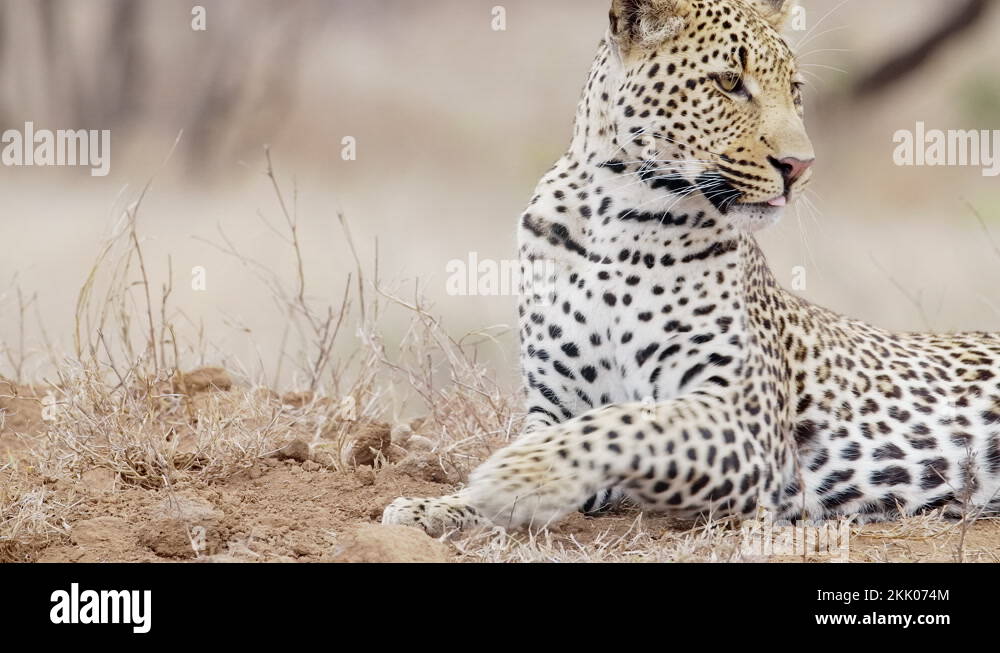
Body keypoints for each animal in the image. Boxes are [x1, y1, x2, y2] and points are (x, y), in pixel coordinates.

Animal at [382, 0, 1000, 537]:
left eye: (795, 91)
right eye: (728, 83)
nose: (800, 166)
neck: (616, 214)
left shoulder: (743, 417)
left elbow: (629, 421)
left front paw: (515, 476)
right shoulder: (556, 404)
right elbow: (572, 433)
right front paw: (435, 507)